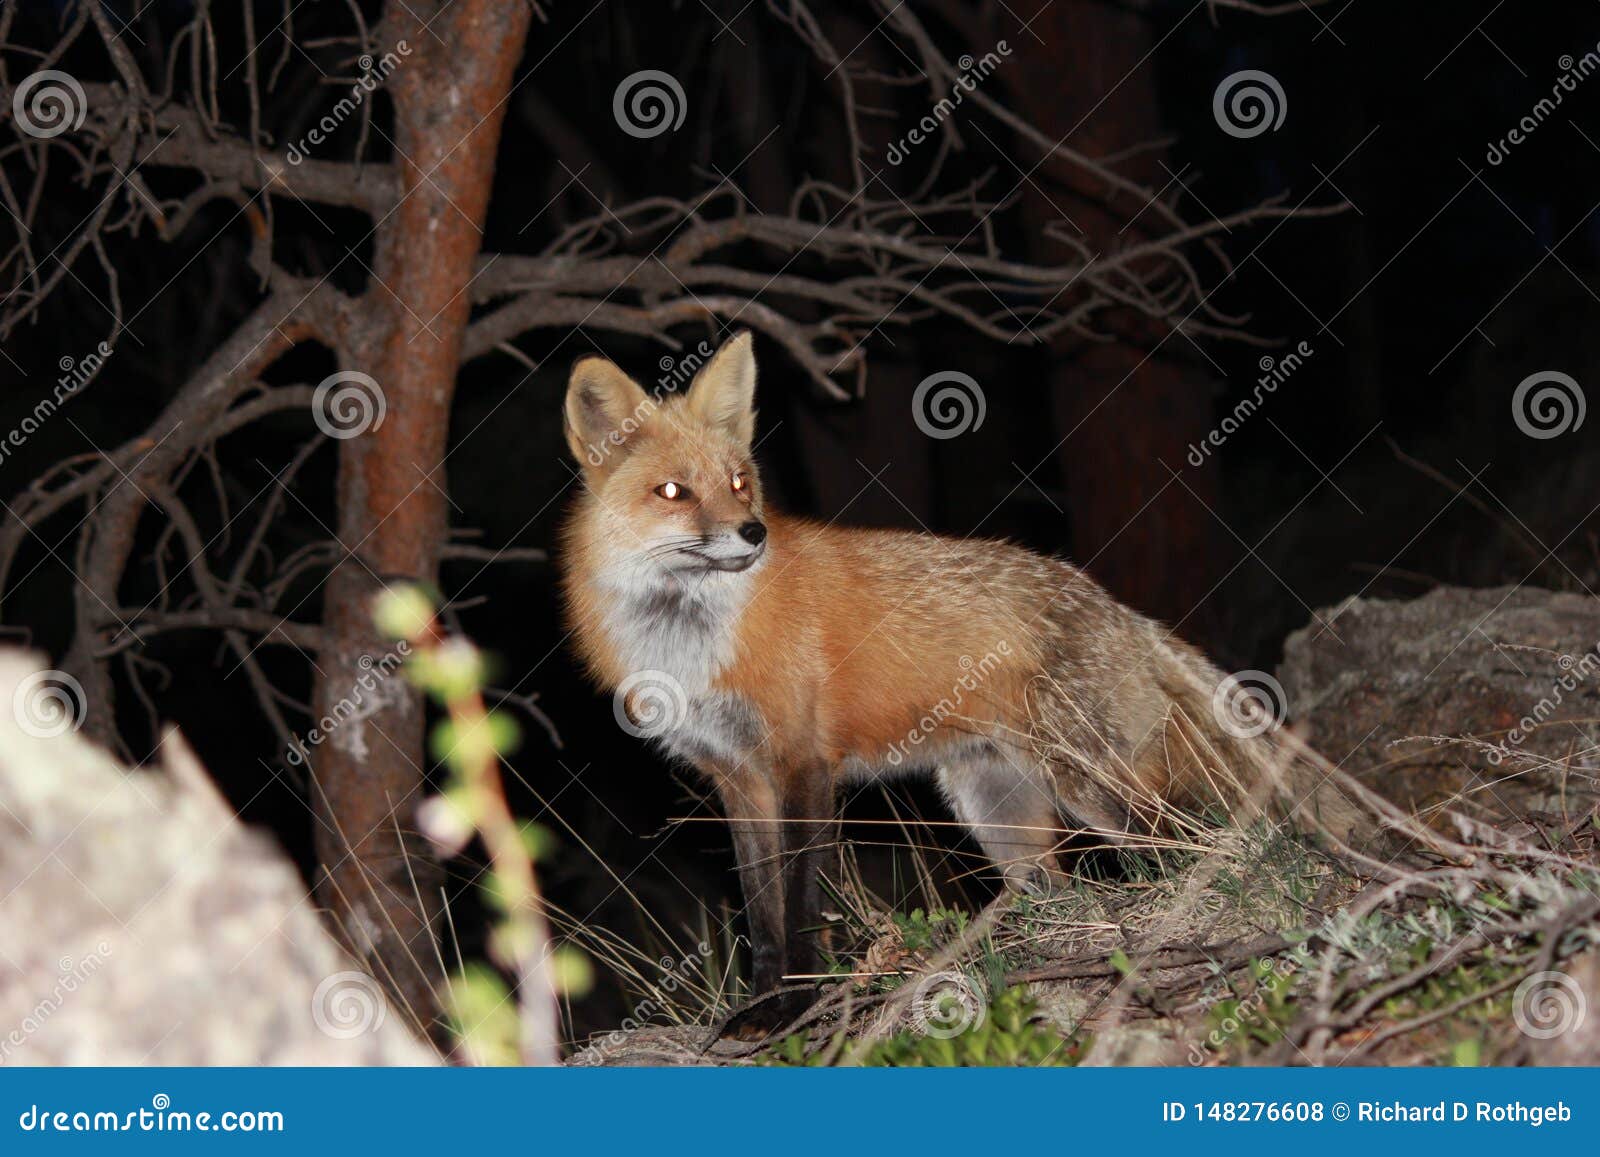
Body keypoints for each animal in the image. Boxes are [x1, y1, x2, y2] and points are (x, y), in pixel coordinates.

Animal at [560, 332, 1362, 1028]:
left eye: (739, 483)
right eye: (673, 492)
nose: (753, 532)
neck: (693, 642)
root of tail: (1111, 605)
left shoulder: (802, 765)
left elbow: (799, 905)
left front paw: (798, 1002)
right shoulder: (738, 778)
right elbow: (761, 914)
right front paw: (760, 1009)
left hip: (1095, 788)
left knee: (1196, 845)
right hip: (998, 815)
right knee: (1061, 889)